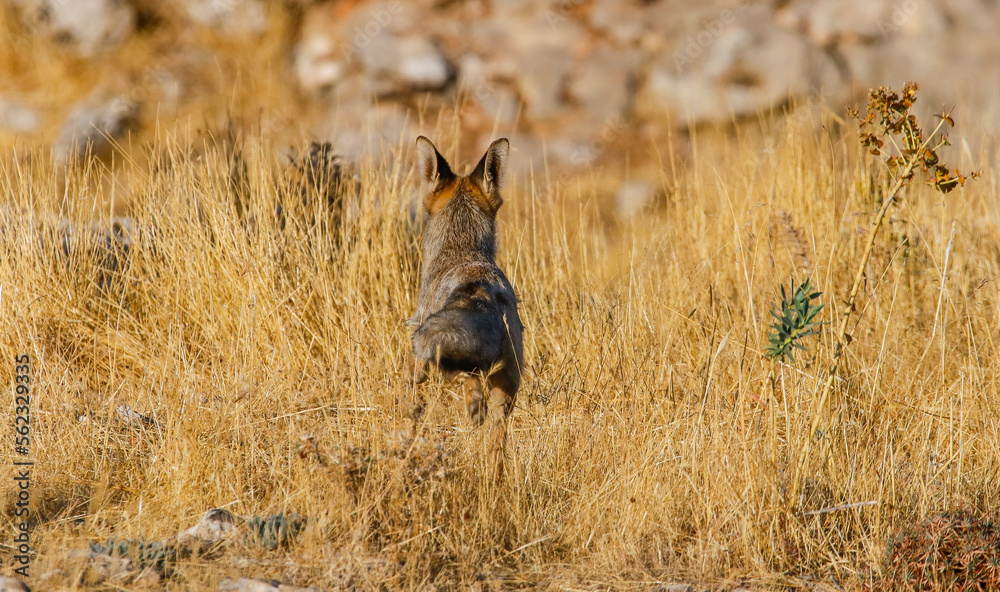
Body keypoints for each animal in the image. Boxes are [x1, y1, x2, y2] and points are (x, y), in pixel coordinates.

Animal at [409, 135, 524, 456]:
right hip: (509, 388)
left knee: (467, 379)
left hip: (439, 352)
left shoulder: (419, 348)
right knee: (497, 441)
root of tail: (482, 291)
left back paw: (474, 409)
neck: (462, 250)